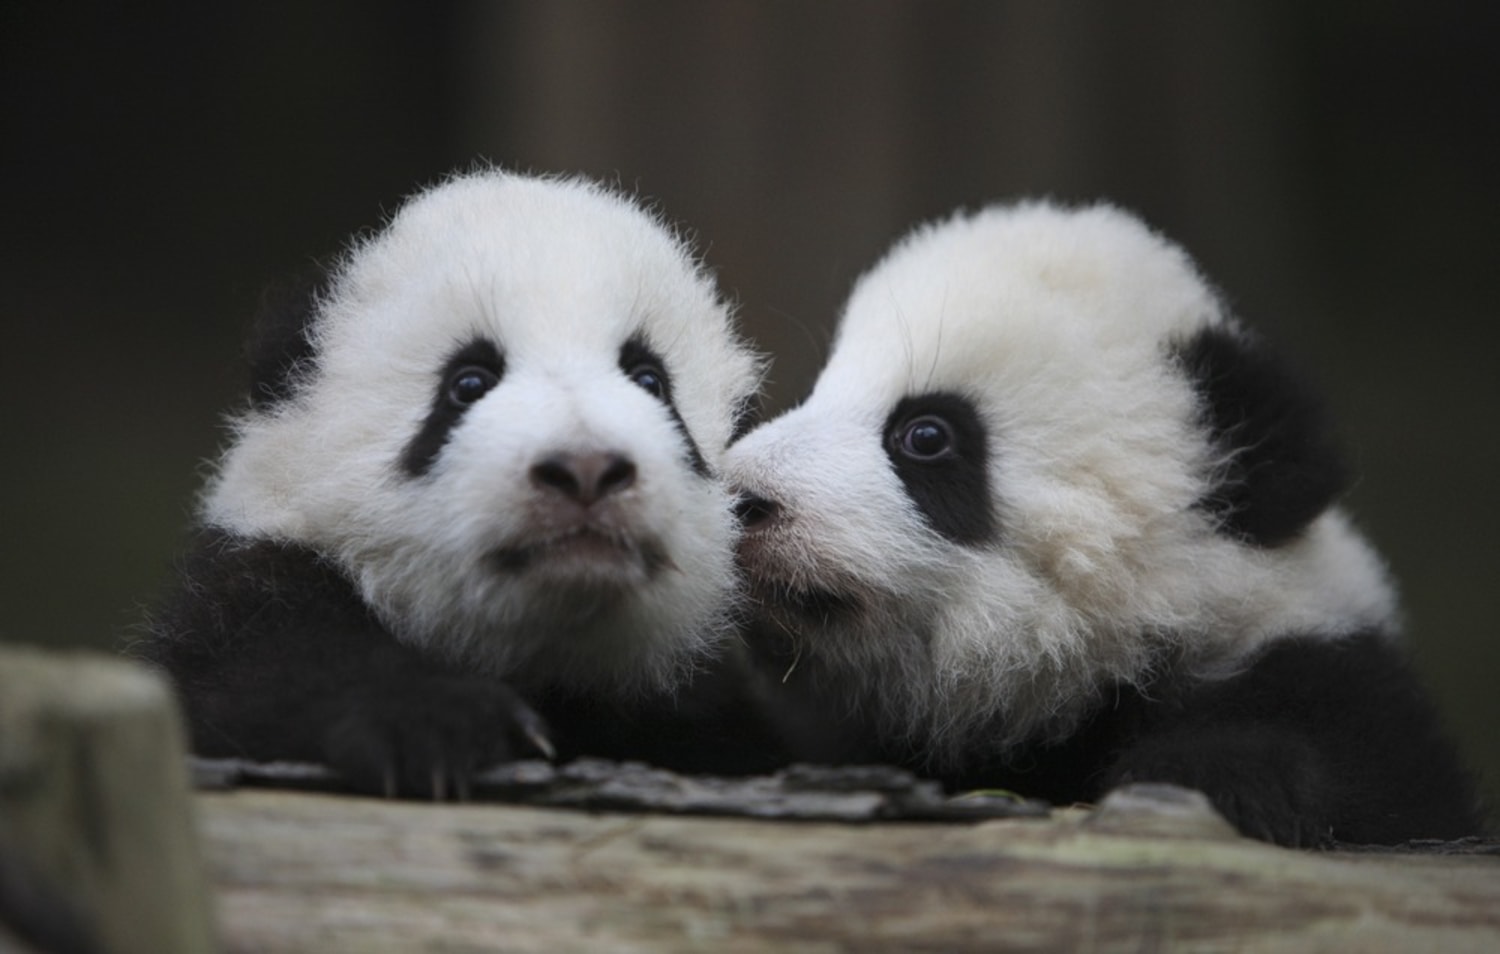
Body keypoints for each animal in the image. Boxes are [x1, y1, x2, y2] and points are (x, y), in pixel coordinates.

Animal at [133, 168, 783, 797]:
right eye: (468, 383)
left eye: (651, 381)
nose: (585, 468)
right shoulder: (254, 584)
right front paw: (431, 725)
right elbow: (252, 673)